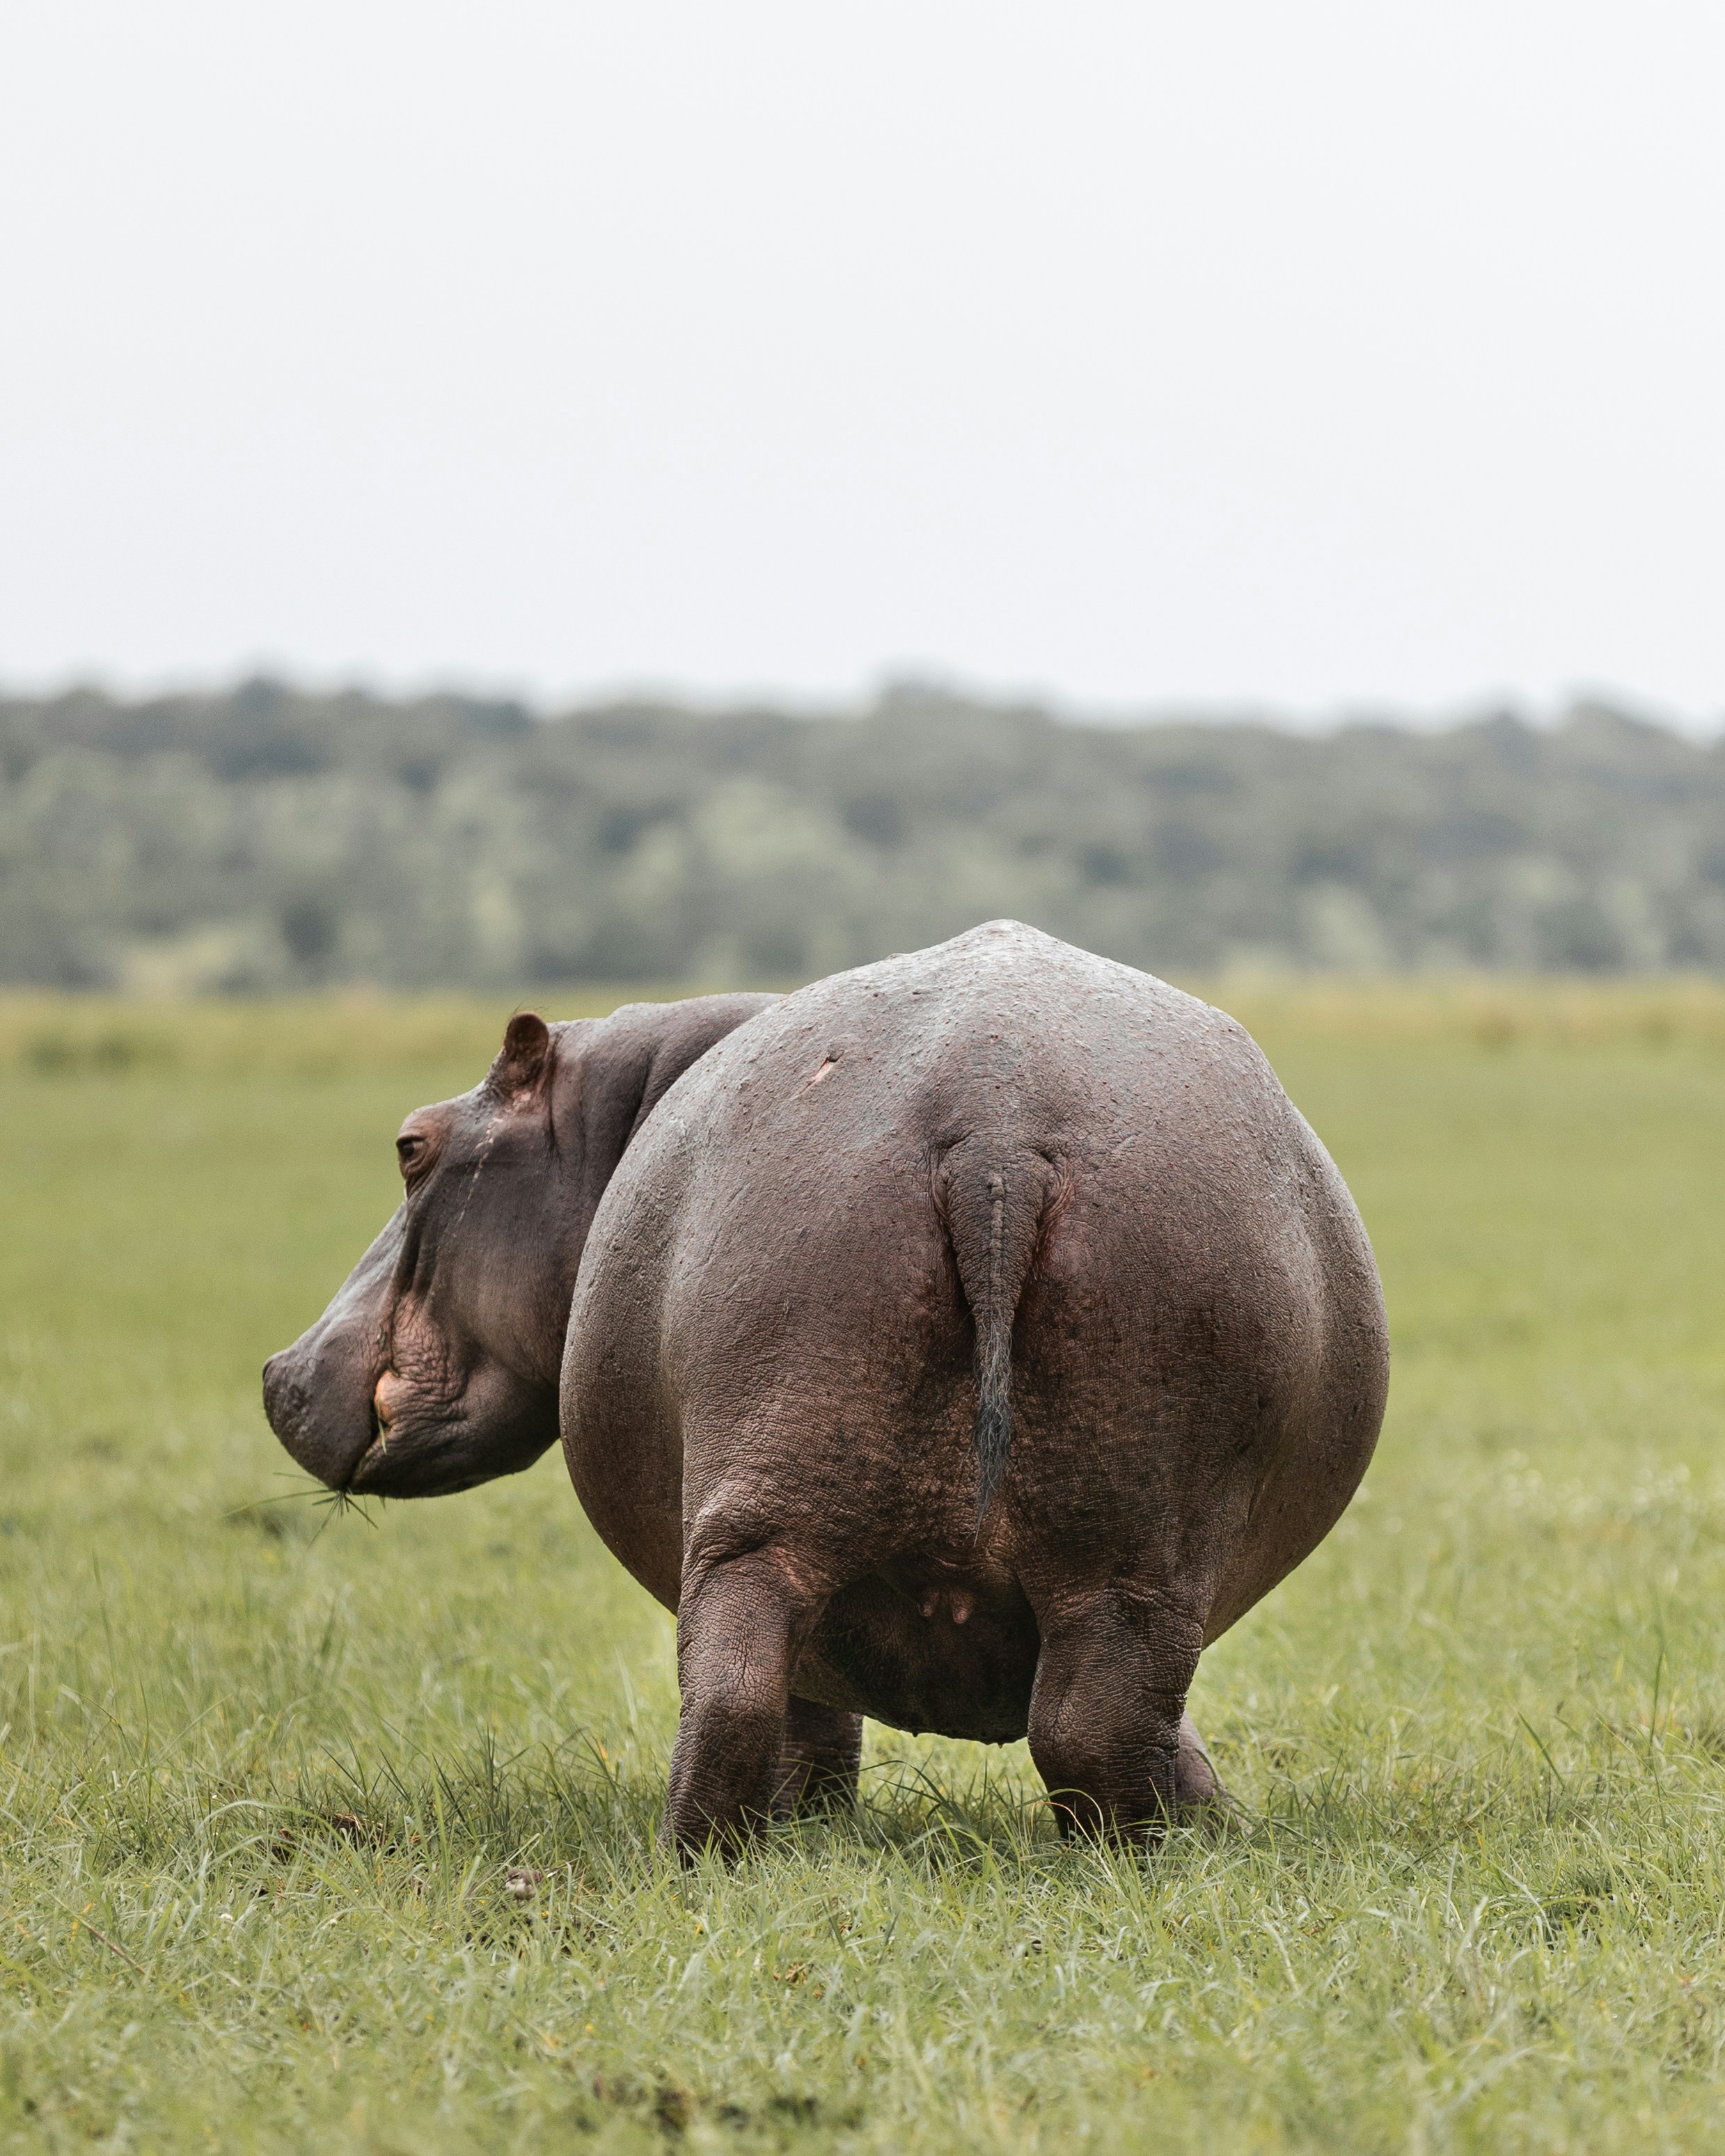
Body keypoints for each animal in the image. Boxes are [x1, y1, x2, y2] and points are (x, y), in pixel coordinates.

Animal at [265, 923, 1388, 1852]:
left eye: (410, 1147)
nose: (279, 1372)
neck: (609, 1114)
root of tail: (996, 1121)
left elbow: (813, 1718)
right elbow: (1170, 1727)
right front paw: (1216, 1807)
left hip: (766, 1501)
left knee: (739, 1687)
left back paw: (695, 1860)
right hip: (1123, 1540)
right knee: (1096, 1716)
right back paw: (1141, 1855)